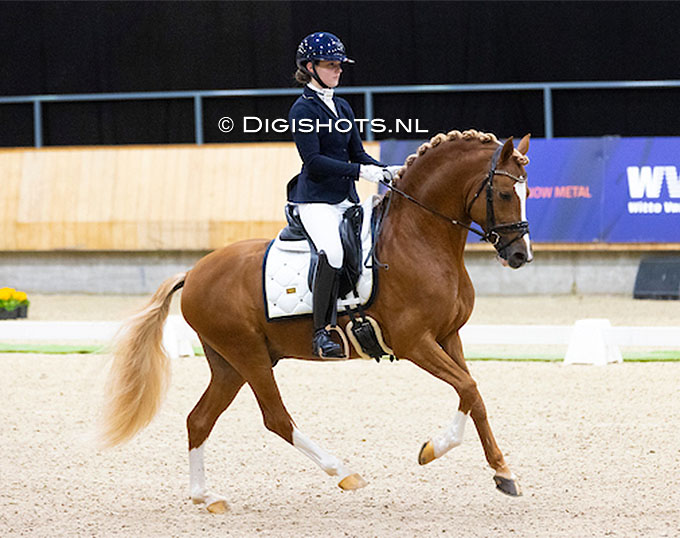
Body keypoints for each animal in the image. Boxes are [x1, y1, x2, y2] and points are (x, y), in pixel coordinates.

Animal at [99, 129, 533, 513]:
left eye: (527, 193)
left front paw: (502, 473)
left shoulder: (448, 336)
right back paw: (343, 472)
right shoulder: (415, 343)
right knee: (275, 418)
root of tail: (193, 273)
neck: (420, 238)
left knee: (199, 419)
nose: (520, 256)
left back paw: (206, 497)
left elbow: (473, 396)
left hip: (229, 363)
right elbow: (468, 388)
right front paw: (434, 450)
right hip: (248, 355)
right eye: (504, 193)